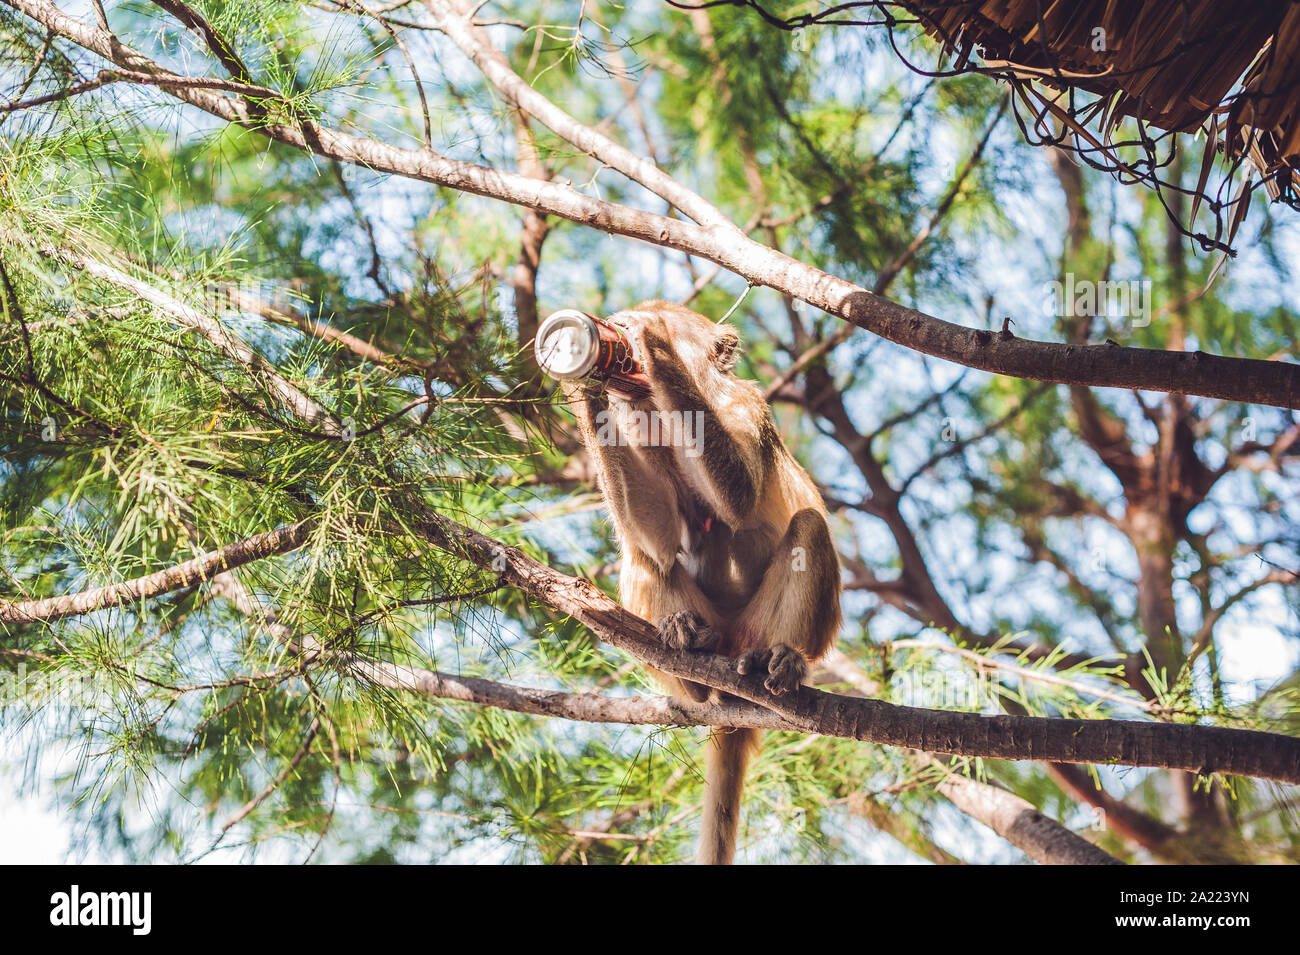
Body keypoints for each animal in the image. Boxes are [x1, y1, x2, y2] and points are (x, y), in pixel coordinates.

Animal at [560, 300, 841, 865]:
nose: (619, 329)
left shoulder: (747, 408)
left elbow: (739, 496)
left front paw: (655, 346)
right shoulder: (637, 421)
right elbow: (658, 536)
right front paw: (585, 384)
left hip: (759, 628)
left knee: (808, 527)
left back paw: (782, 662)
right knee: (644, 555)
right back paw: (689, 650)